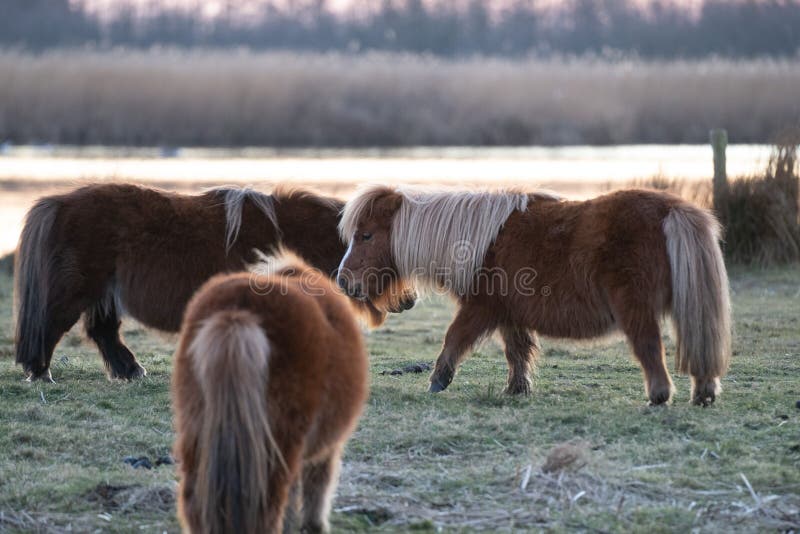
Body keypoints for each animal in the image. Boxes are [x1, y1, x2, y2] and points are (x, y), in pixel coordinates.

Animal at [14, 183, 415, 382]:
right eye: (366, 238)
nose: (408, 301)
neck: (275, 236)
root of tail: (57, 203)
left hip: (105, 293)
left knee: (103, 332)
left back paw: (131, 372)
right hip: (79, 289)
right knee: (51, 324)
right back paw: (41, 372)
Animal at [173, 255, 368, 533]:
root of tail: (236, 313)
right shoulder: (325, 449)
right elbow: (317, 487)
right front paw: (314, 525)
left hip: (197, 430)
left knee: (194, 504)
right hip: (279, 446)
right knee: (270, 506)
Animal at [337, 185, 731, 406]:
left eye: (366, 235)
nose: (342, 280)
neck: (478, 244)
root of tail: (672, 210)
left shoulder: (481, 308)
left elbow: (455, 338)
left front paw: (438, 381)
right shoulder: (509, 313)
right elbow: (517, 351)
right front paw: (517, 389)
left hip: (636, 308)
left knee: (649, 348)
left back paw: (659, 396)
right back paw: (703, 393)